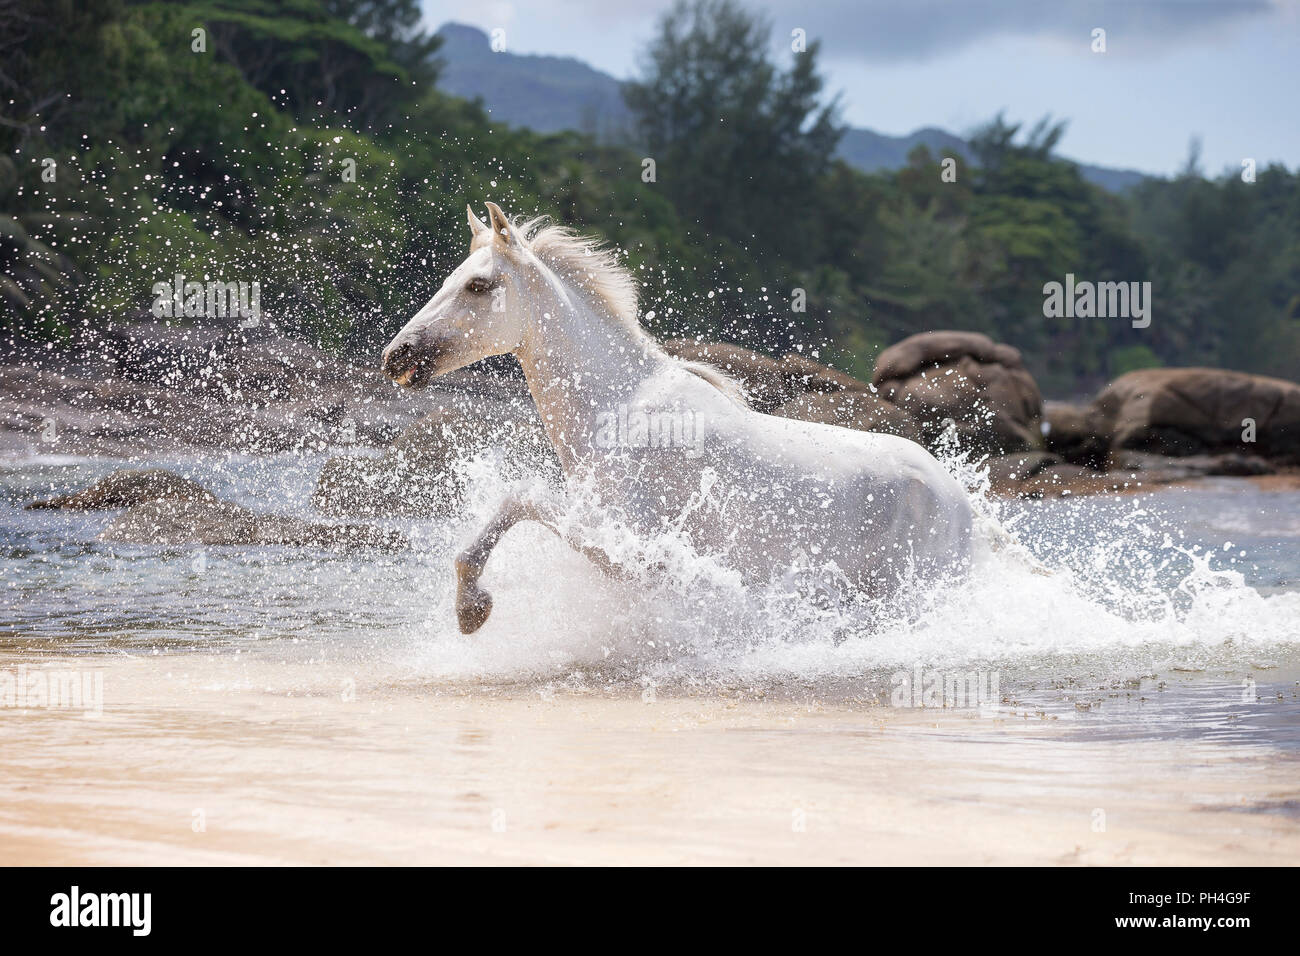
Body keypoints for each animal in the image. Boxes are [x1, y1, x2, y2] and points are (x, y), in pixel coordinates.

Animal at [381, 202, 973, 633]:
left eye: (479, 285)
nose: (396, 356)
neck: (618, 409)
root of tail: (961, 504)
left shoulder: (638, 551)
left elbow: (517, 498)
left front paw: (472, 611)